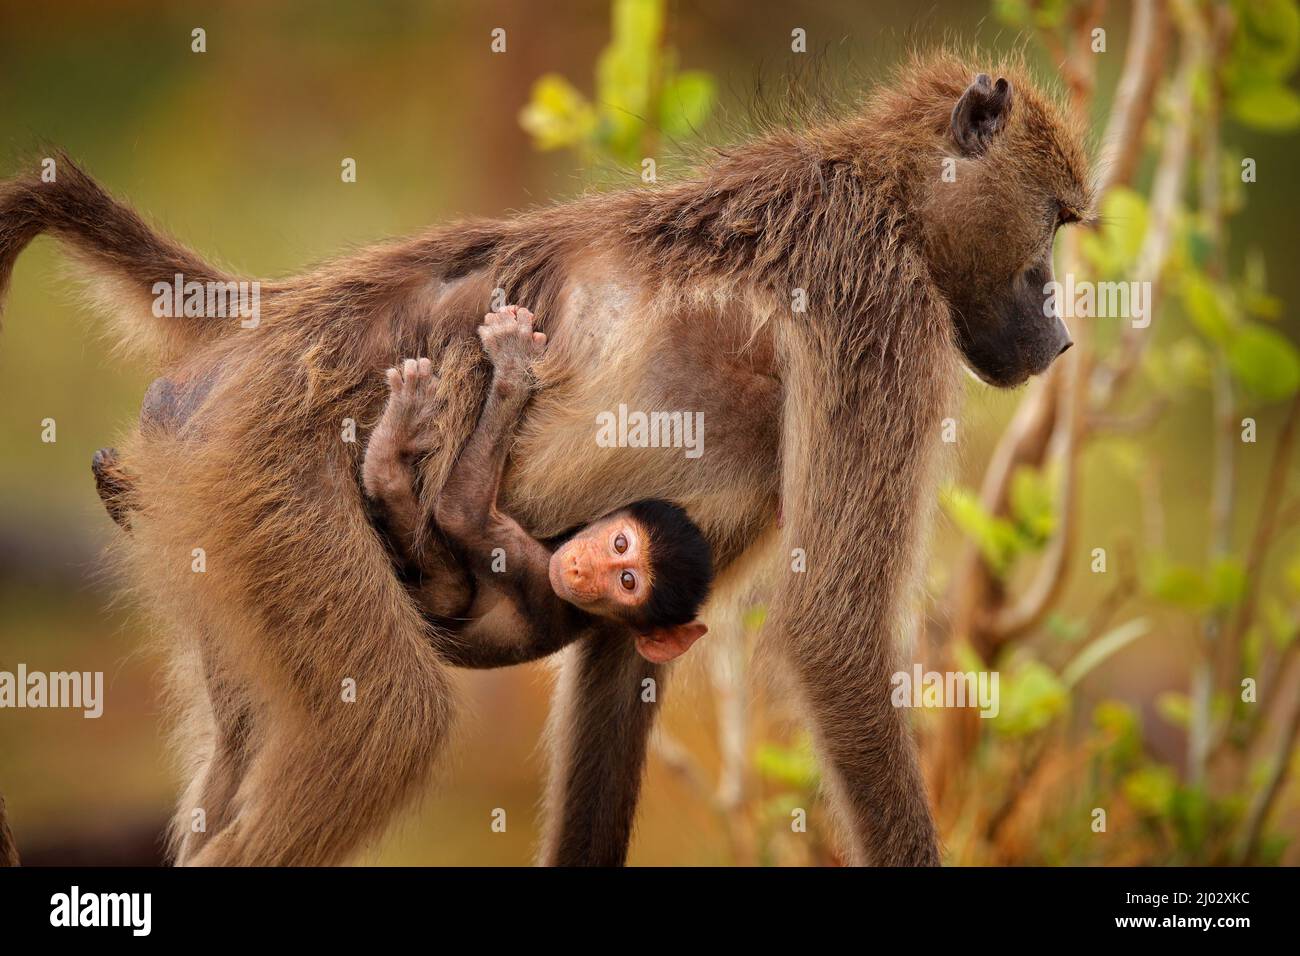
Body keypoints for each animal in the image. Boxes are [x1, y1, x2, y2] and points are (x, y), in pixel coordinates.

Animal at [0, 52, 1091, 866]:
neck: (880, 193)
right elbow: (835, 634)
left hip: (208, 520)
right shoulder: (881, 313)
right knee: (381, 727)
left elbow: (625, 656)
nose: (1062, 334)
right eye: (1058, 221)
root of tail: (265, 320)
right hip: (267, 474)